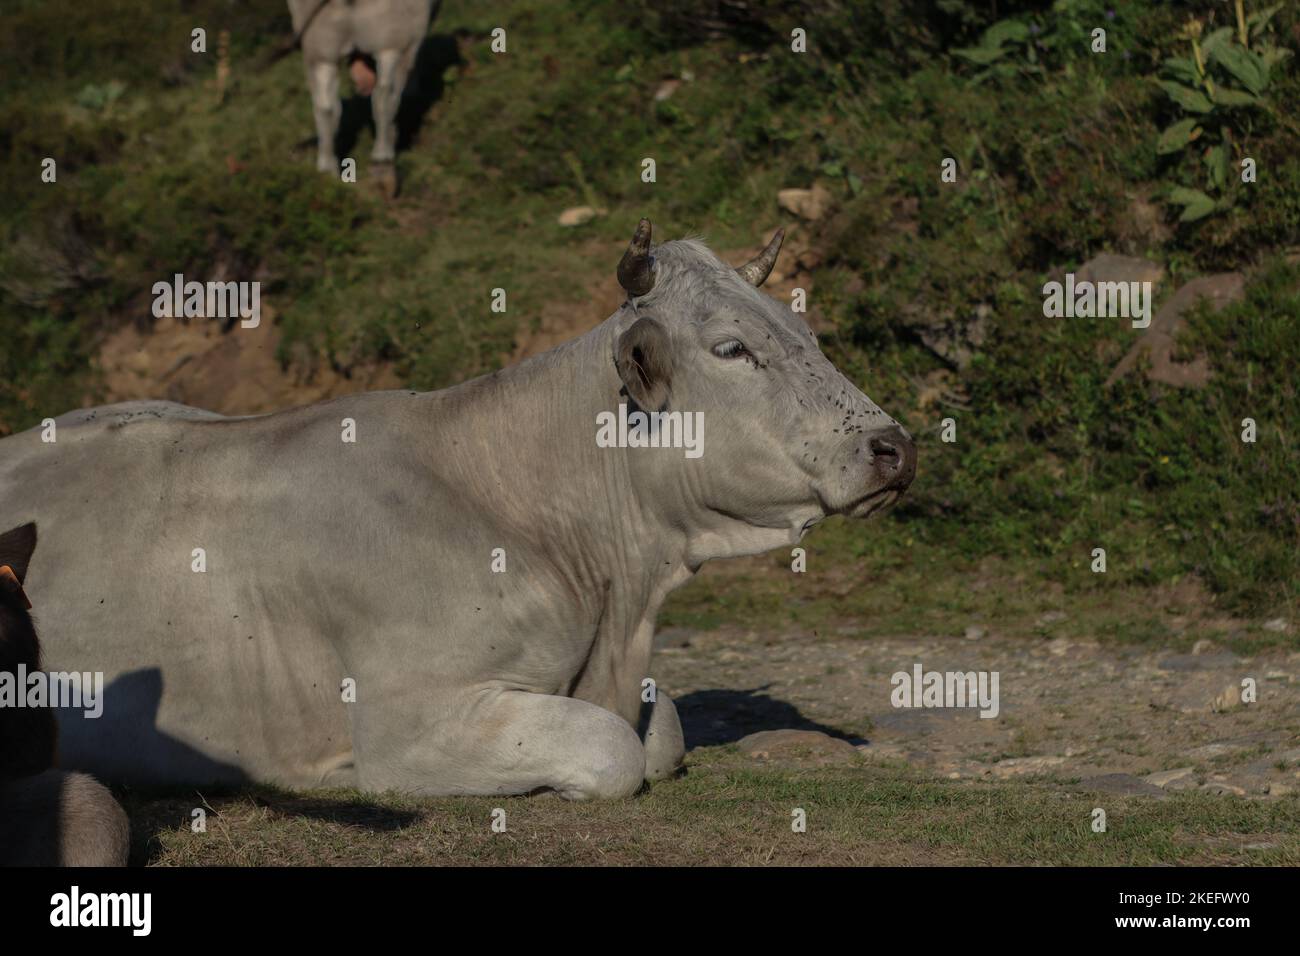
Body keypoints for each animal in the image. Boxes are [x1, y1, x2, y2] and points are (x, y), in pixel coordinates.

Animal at [0, 222, 915, 800]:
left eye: (808, 332)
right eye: (732, 347)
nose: (894, 445)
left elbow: (664, 733)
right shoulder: (410, 719)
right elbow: (615, 748)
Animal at [287, 0, 438, 182]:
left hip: (319, 47)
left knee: (326, 108)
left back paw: (327, 168)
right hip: (394, 36)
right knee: (384, 96)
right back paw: (383, 154)